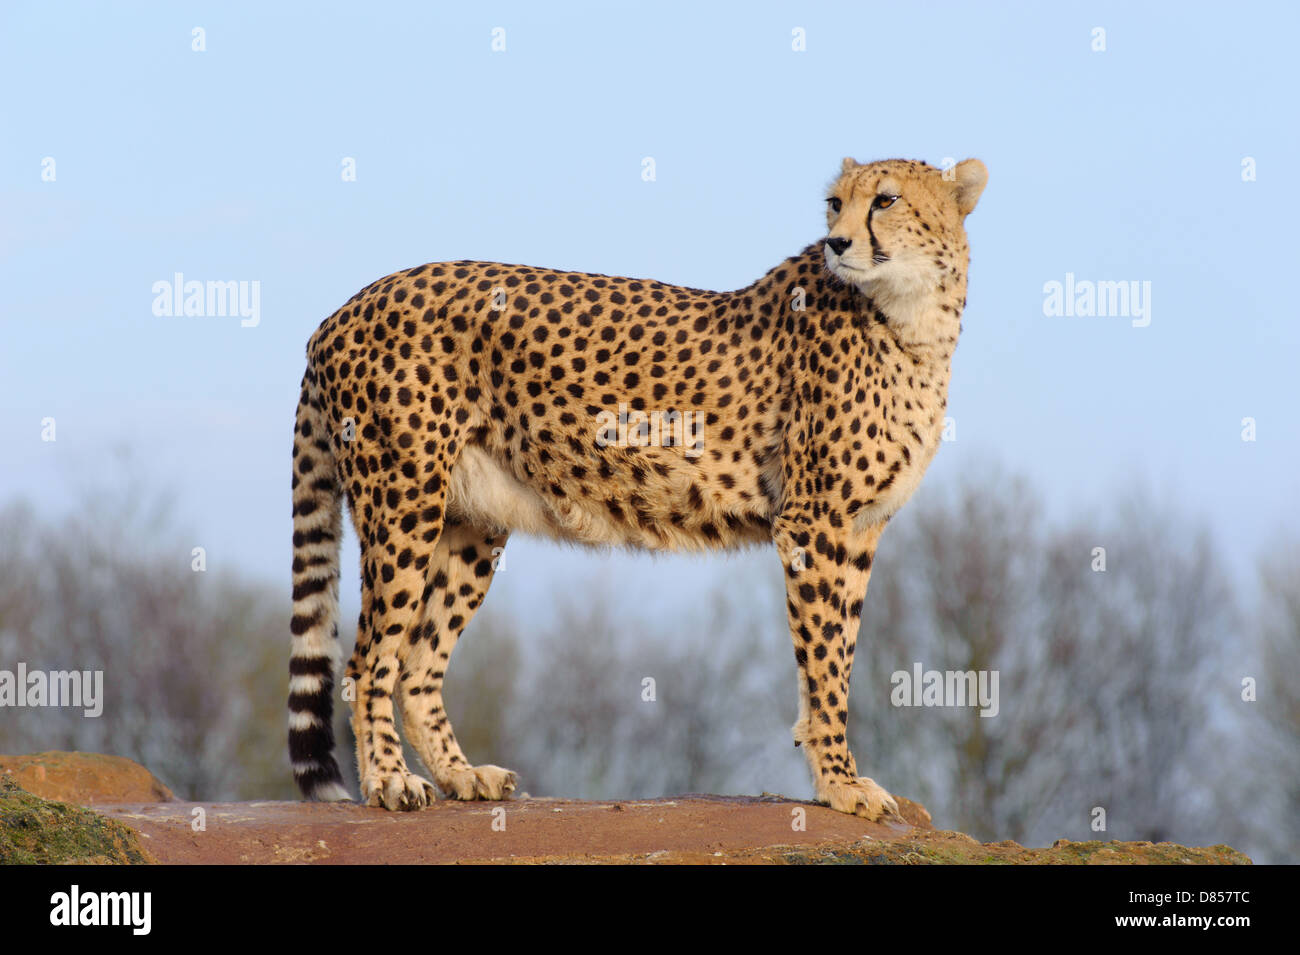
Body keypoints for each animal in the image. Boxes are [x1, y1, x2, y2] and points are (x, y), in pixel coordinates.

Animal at [288, 156, 987, 819]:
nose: (837, 243)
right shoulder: (814, 524)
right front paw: (840, 783)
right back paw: (389, 780)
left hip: (469, 524)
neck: (911, 317)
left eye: (886, 200)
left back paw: (460, 775)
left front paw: (837, 775)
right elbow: (824, 664)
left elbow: (840, 654)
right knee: (368, 660)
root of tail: (343, 308)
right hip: (402, 505)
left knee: (418, 661)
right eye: (835, 203)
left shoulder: (860, 529)